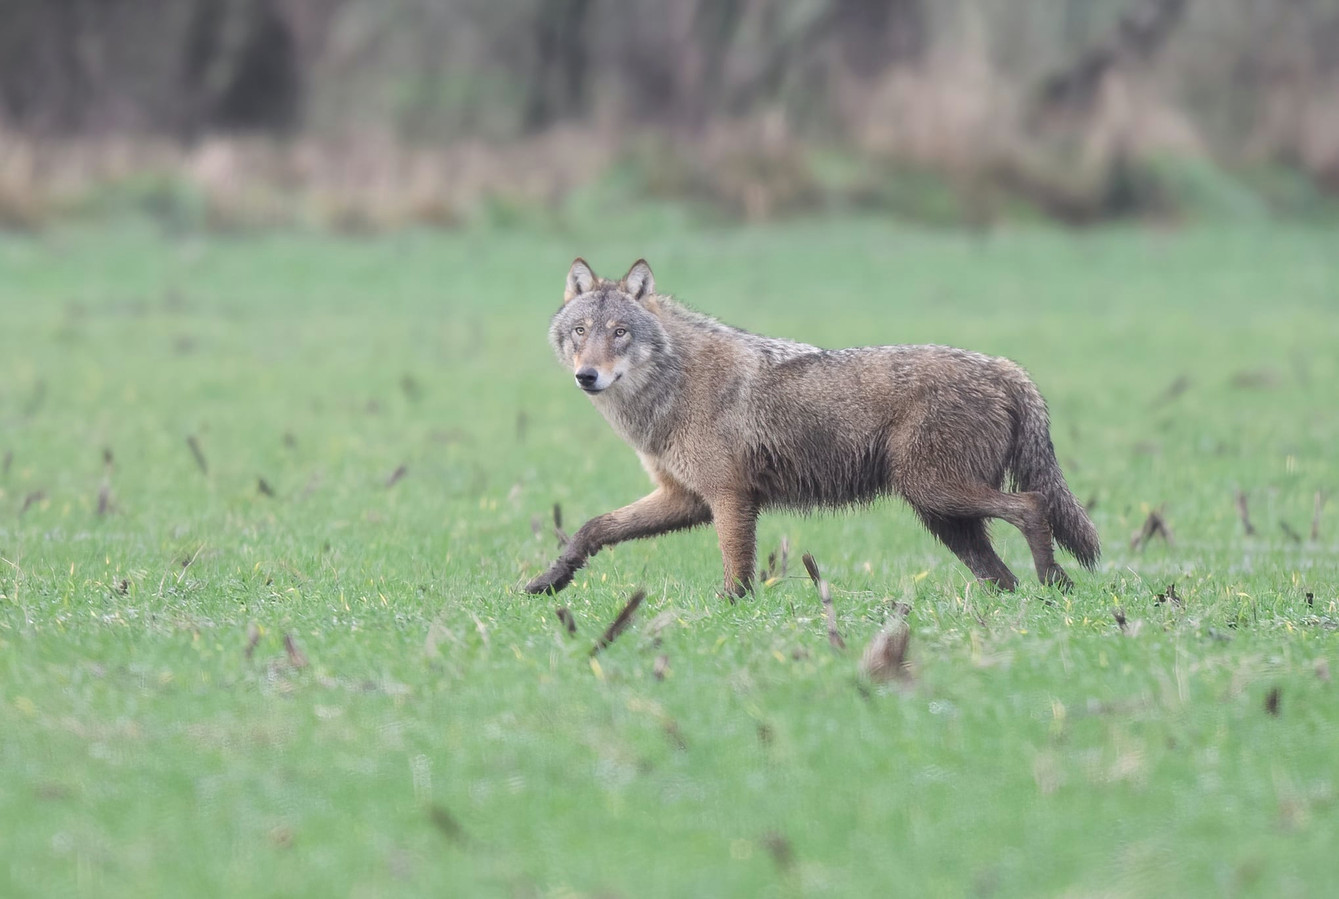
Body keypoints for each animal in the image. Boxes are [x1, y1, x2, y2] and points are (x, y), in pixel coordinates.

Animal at [524, 258, 1099, 598]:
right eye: (581, 332)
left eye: (620, 333)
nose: (587, 376)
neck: (671, 388)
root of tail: (1006, 368)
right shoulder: (684, 499)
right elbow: (591, 529)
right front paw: (547, 582)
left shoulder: (729, 497)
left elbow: (738, 574)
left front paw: (731, 614)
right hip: (943, 515)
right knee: (1004, 576)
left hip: (935, 494)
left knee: (1032, 505)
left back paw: (1055, 586)